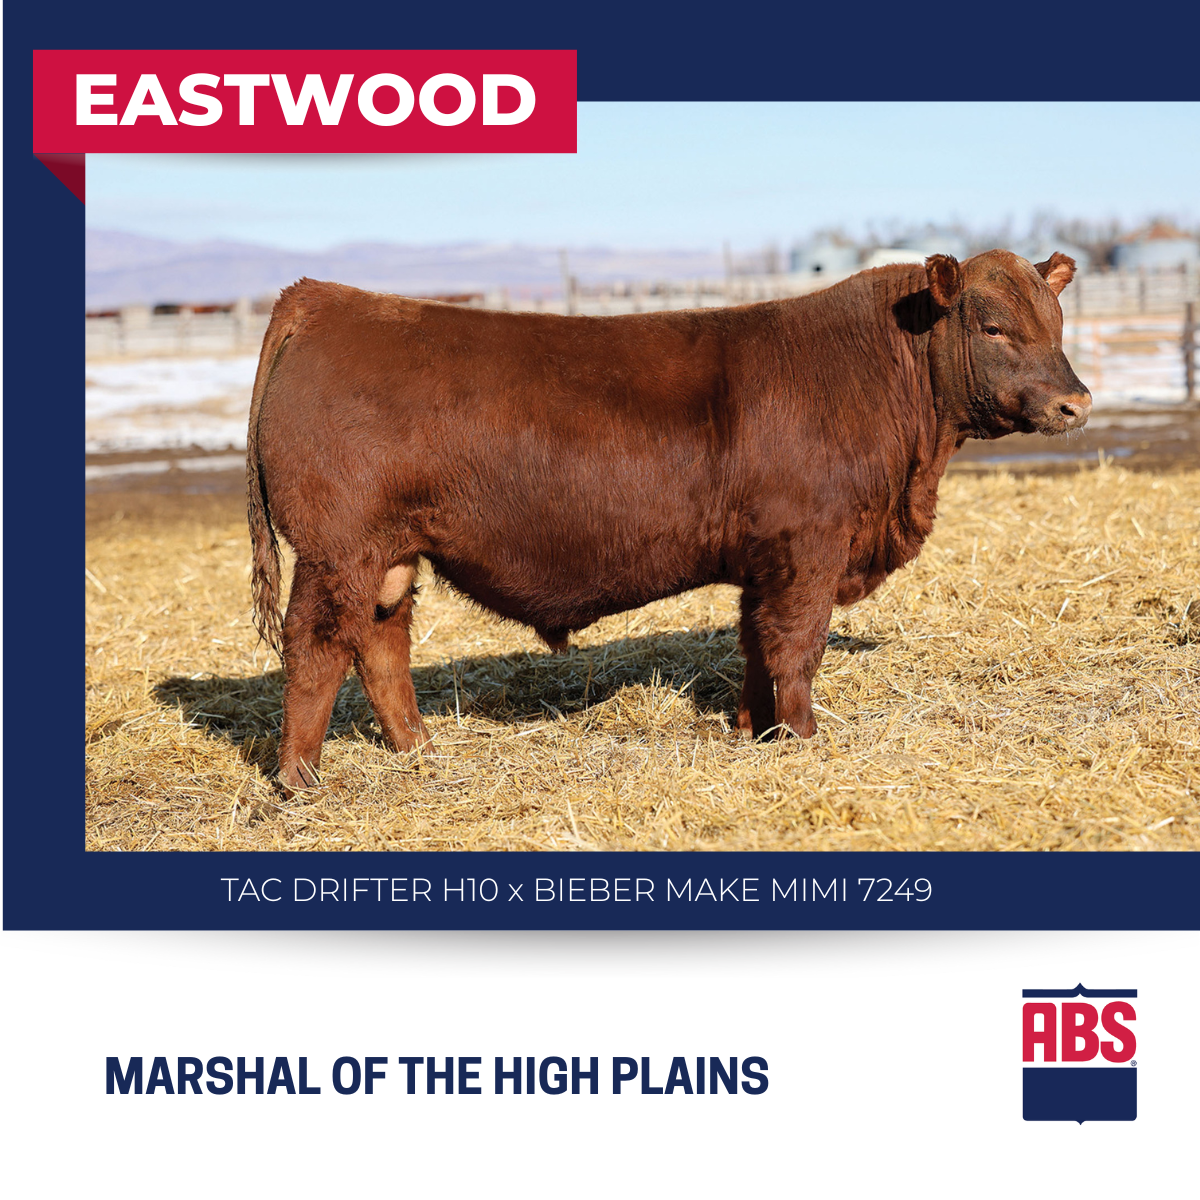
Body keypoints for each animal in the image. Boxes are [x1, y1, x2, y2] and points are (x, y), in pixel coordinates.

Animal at [247, 250, 1089, 791]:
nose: (1075, 403)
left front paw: (756, 730)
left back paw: (418, 751)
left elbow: (756, 644)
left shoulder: (765, 562)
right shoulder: (810, 548)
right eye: (992, 325)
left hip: (391, 556)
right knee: (317, 649)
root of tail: (321, 297)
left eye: (1056, 323)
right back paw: (300, 778)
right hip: (338, 553)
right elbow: (798, 648)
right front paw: (803, 740)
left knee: (380, 646)